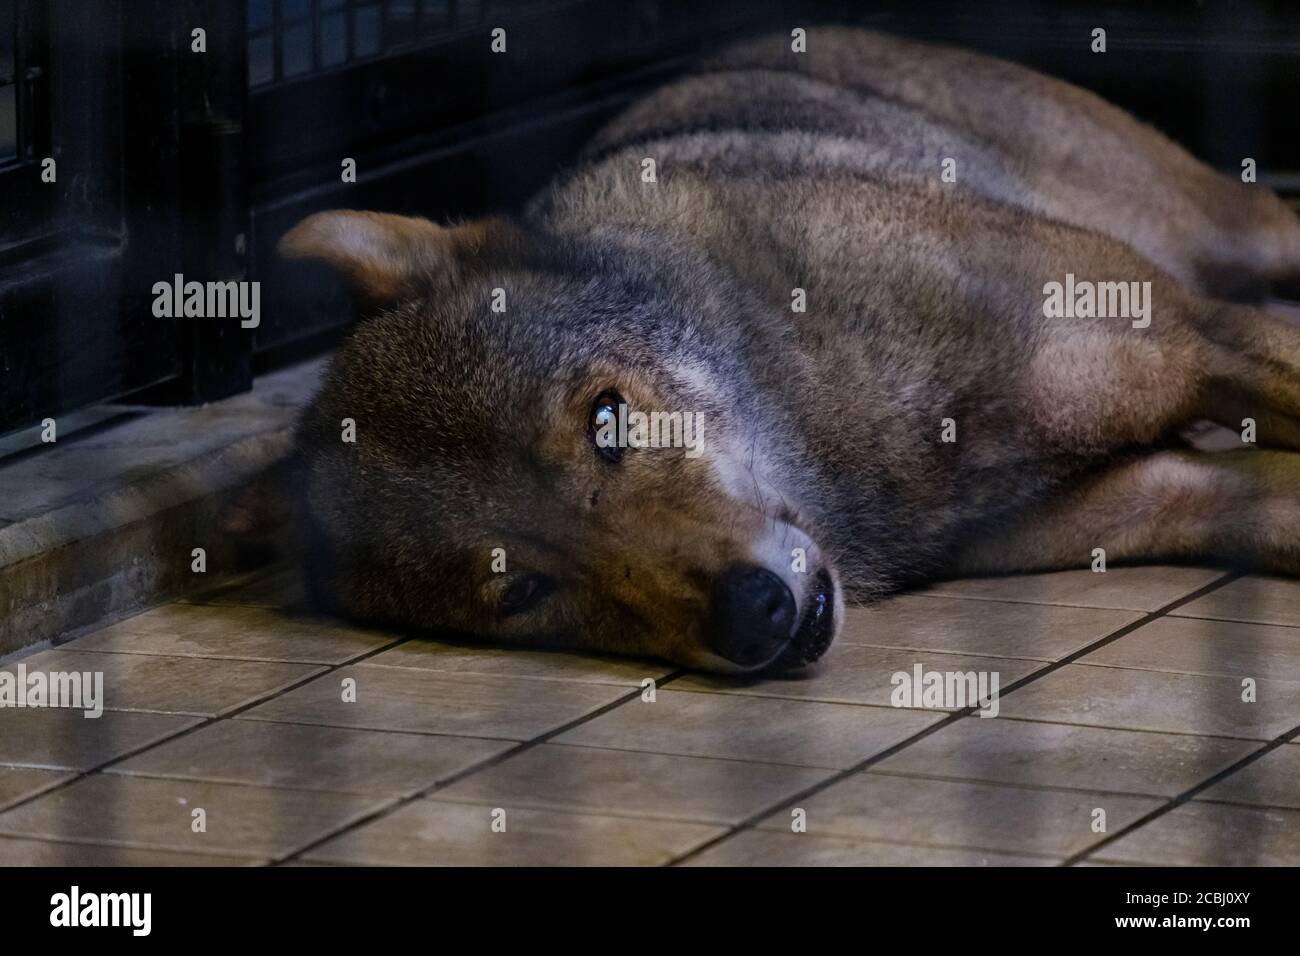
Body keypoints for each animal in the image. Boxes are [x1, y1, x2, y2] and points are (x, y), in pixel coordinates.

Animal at [238, 28, 1300, 674]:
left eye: (608, 422)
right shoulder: (1165, 497)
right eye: (524, 589)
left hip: (1236, 236)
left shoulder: (1201, 338)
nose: (754, 614)